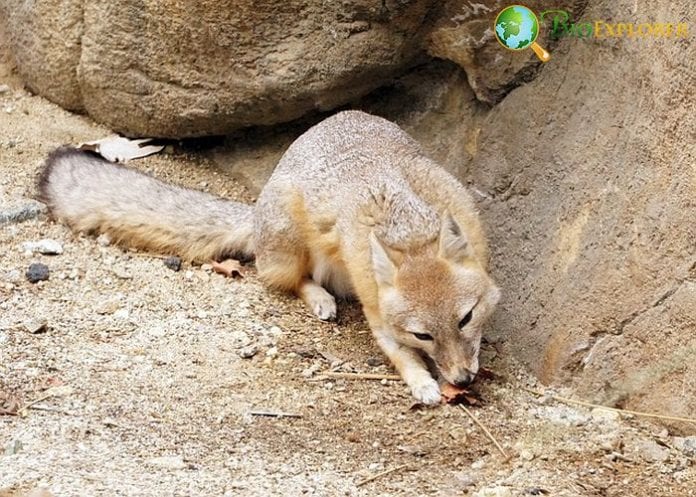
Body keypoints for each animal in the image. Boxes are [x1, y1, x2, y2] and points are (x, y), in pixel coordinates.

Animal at [37, 110, 500, 405]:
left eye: (465, 318)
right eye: (423, 335)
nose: (462, 378)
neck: (407, 224)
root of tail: (256, 209)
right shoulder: (379, 317)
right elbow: (401, 356)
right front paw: (423, 383)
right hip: (290, 244)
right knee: (283, 279)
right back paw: (320, 299)